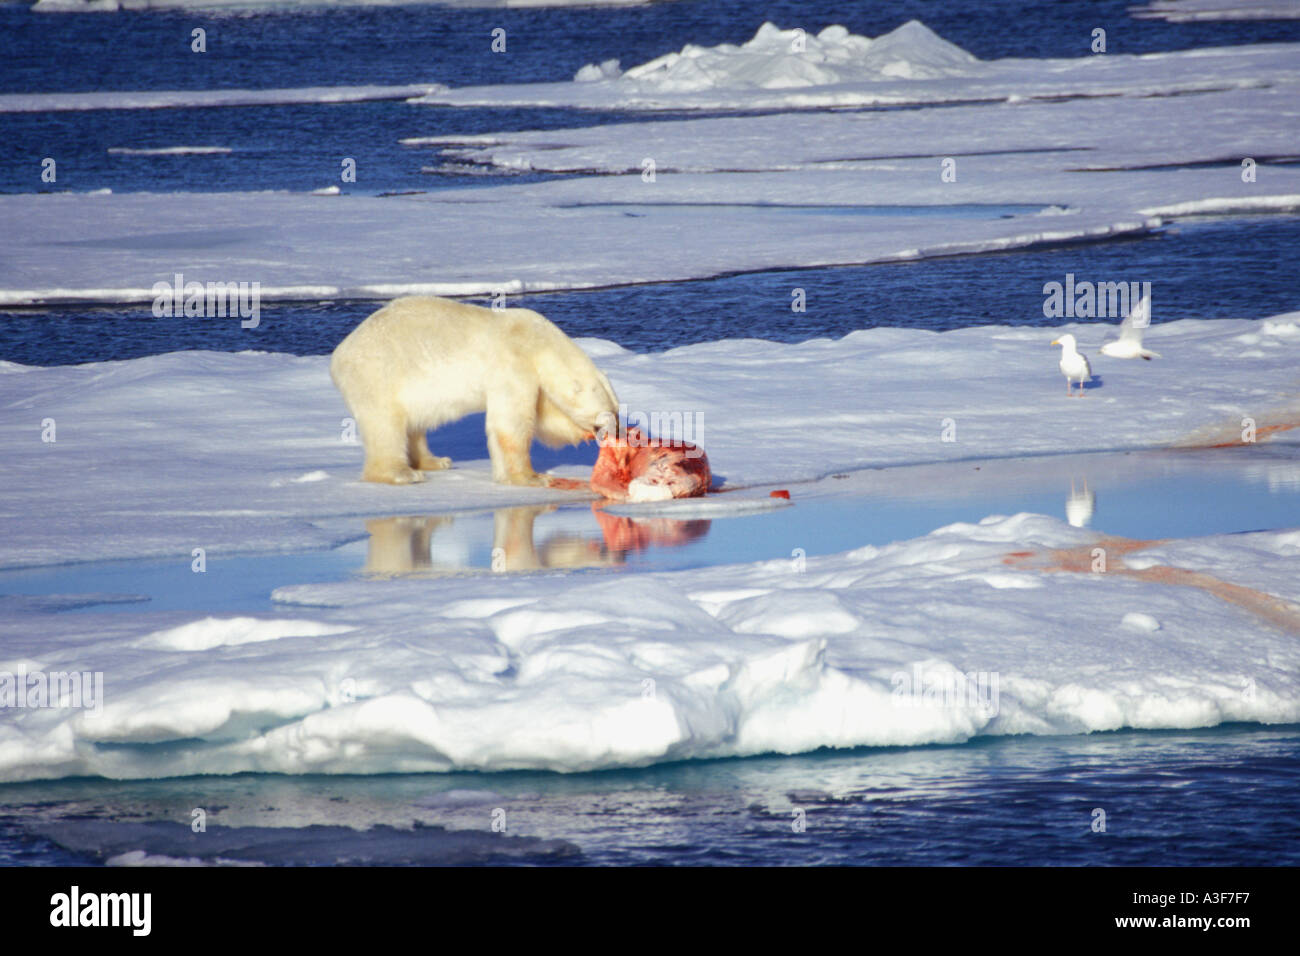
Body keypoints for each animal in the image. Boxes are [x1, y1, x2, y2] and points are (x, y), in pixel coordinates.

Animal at [330, 296, 619, 486]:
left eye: (617, 409)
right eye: (608, 412)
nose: (616, 432)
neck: (537, 340)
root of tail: (338, 356)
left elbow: (545, 417)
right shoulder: (513, 363)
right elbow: (511, 422)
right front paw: (533, 477)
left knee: (415, 424)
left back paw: (435, 461)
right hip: (379, 375)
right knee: (385, 425)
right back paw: (402, 473)